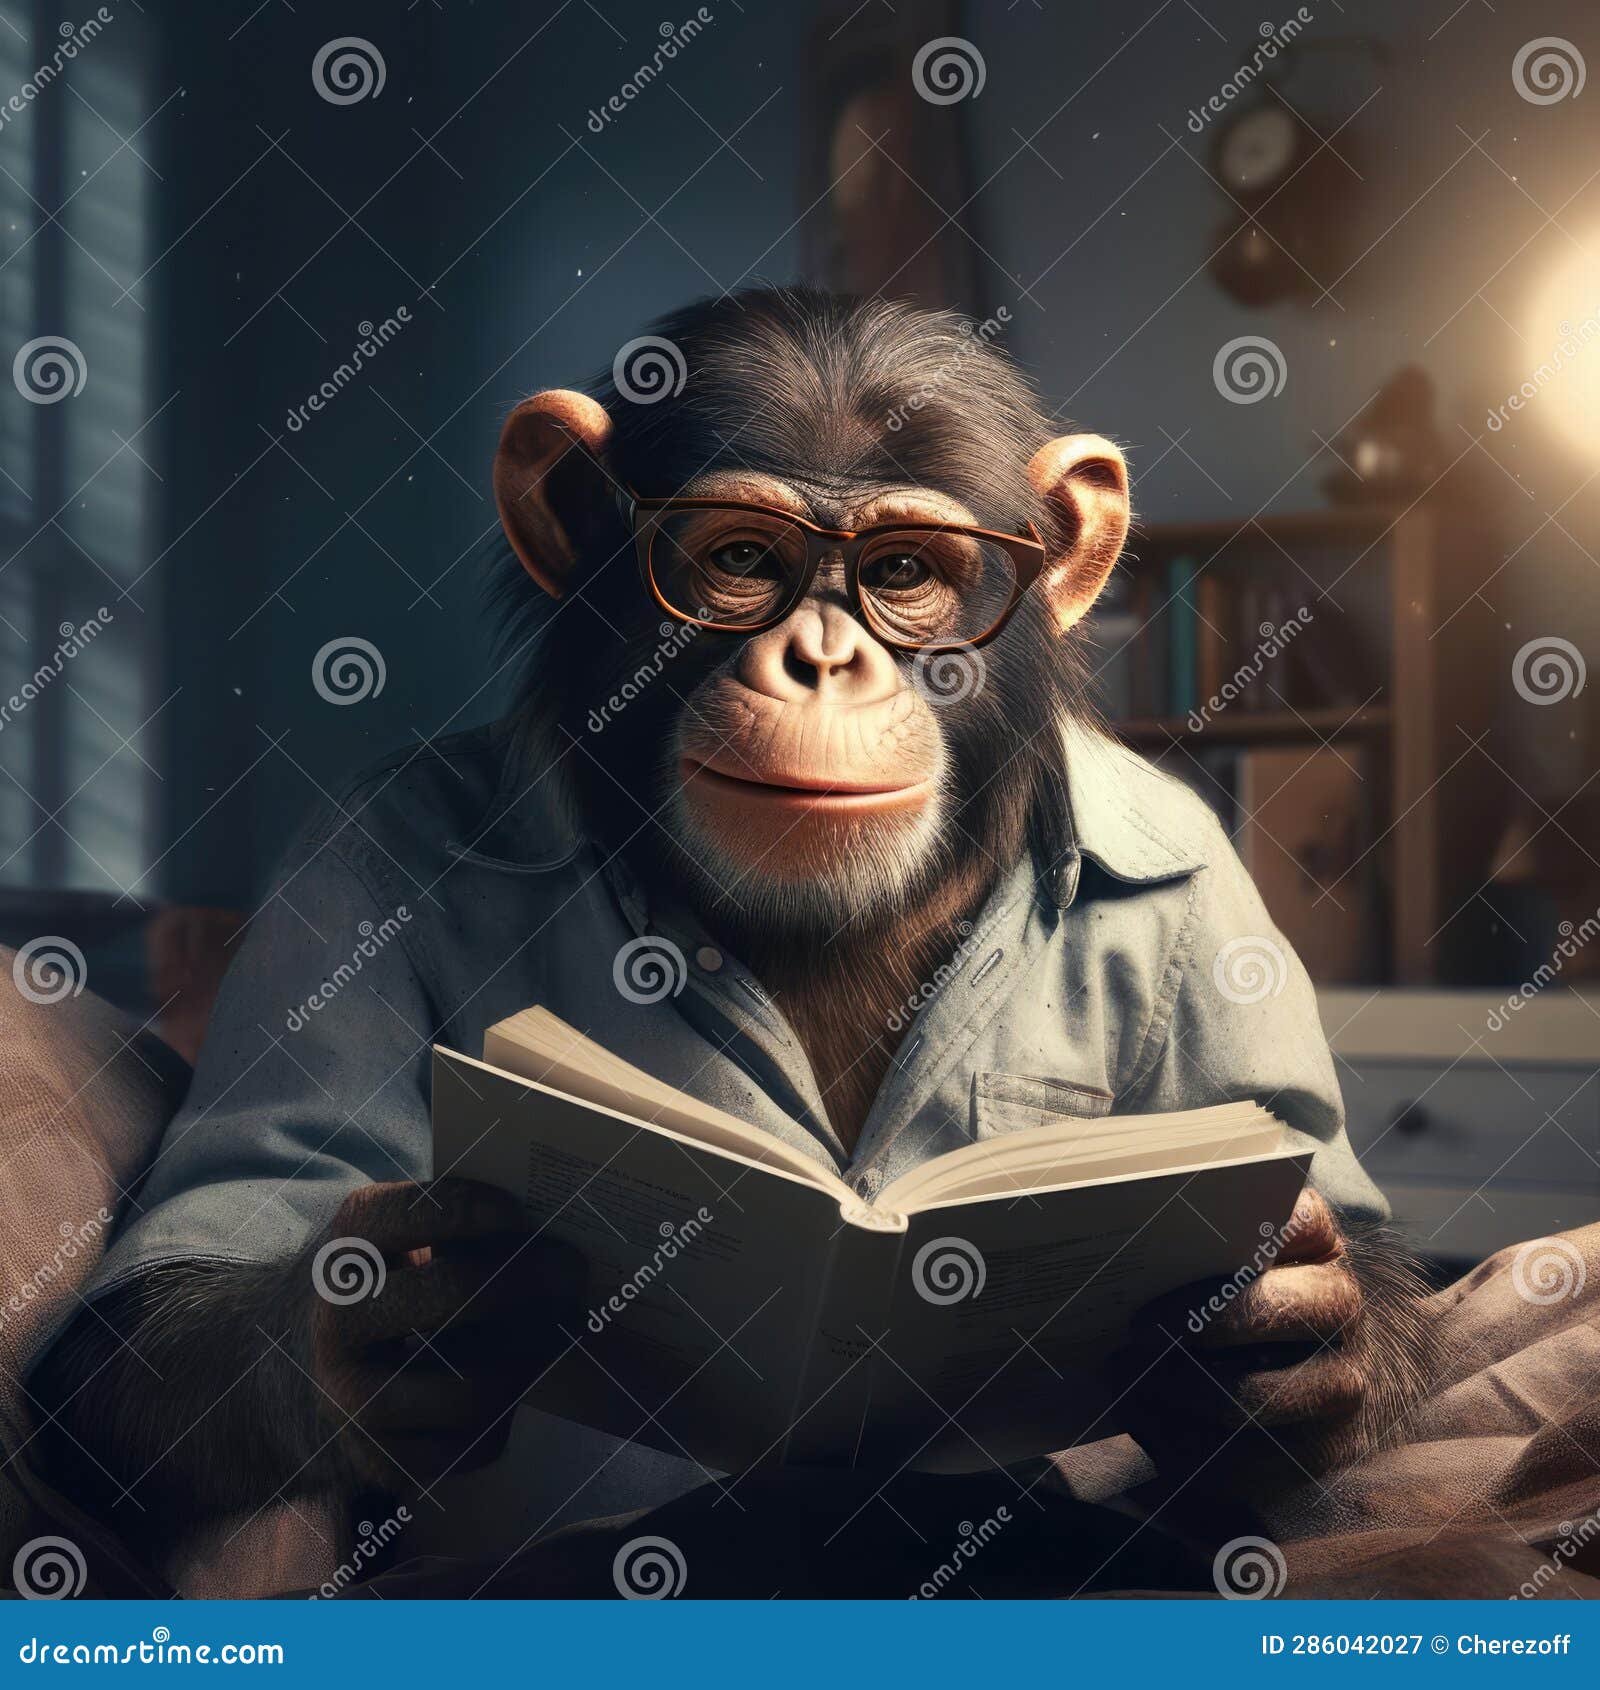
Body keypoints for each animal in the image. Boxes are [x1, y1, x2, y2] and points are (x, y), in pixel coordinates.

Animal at [31, 288, 1435, 1583]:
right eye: (743, 558)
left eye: (904, 571)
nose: (821, 659)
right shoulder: (349, 849)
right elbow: (148, 1318)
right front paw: (418, 1314)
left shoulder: (1204, 865)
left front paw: (1271, 1333)